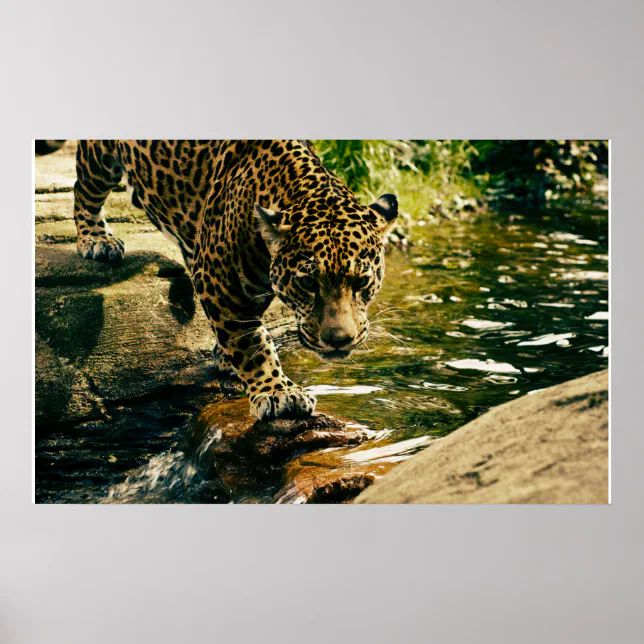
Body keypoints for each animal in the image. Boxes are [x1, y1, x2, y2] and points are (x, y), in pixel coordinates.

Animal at [72, 140, 398, 420]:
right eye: (308, 284)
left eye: (361, 282)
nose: (339, 341)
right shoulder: (219, 280)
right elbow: (252, 343)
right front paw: (278, 392)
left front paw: (227, 357)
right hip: (99, 159)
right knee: (83, 189)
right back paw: (97, 239)